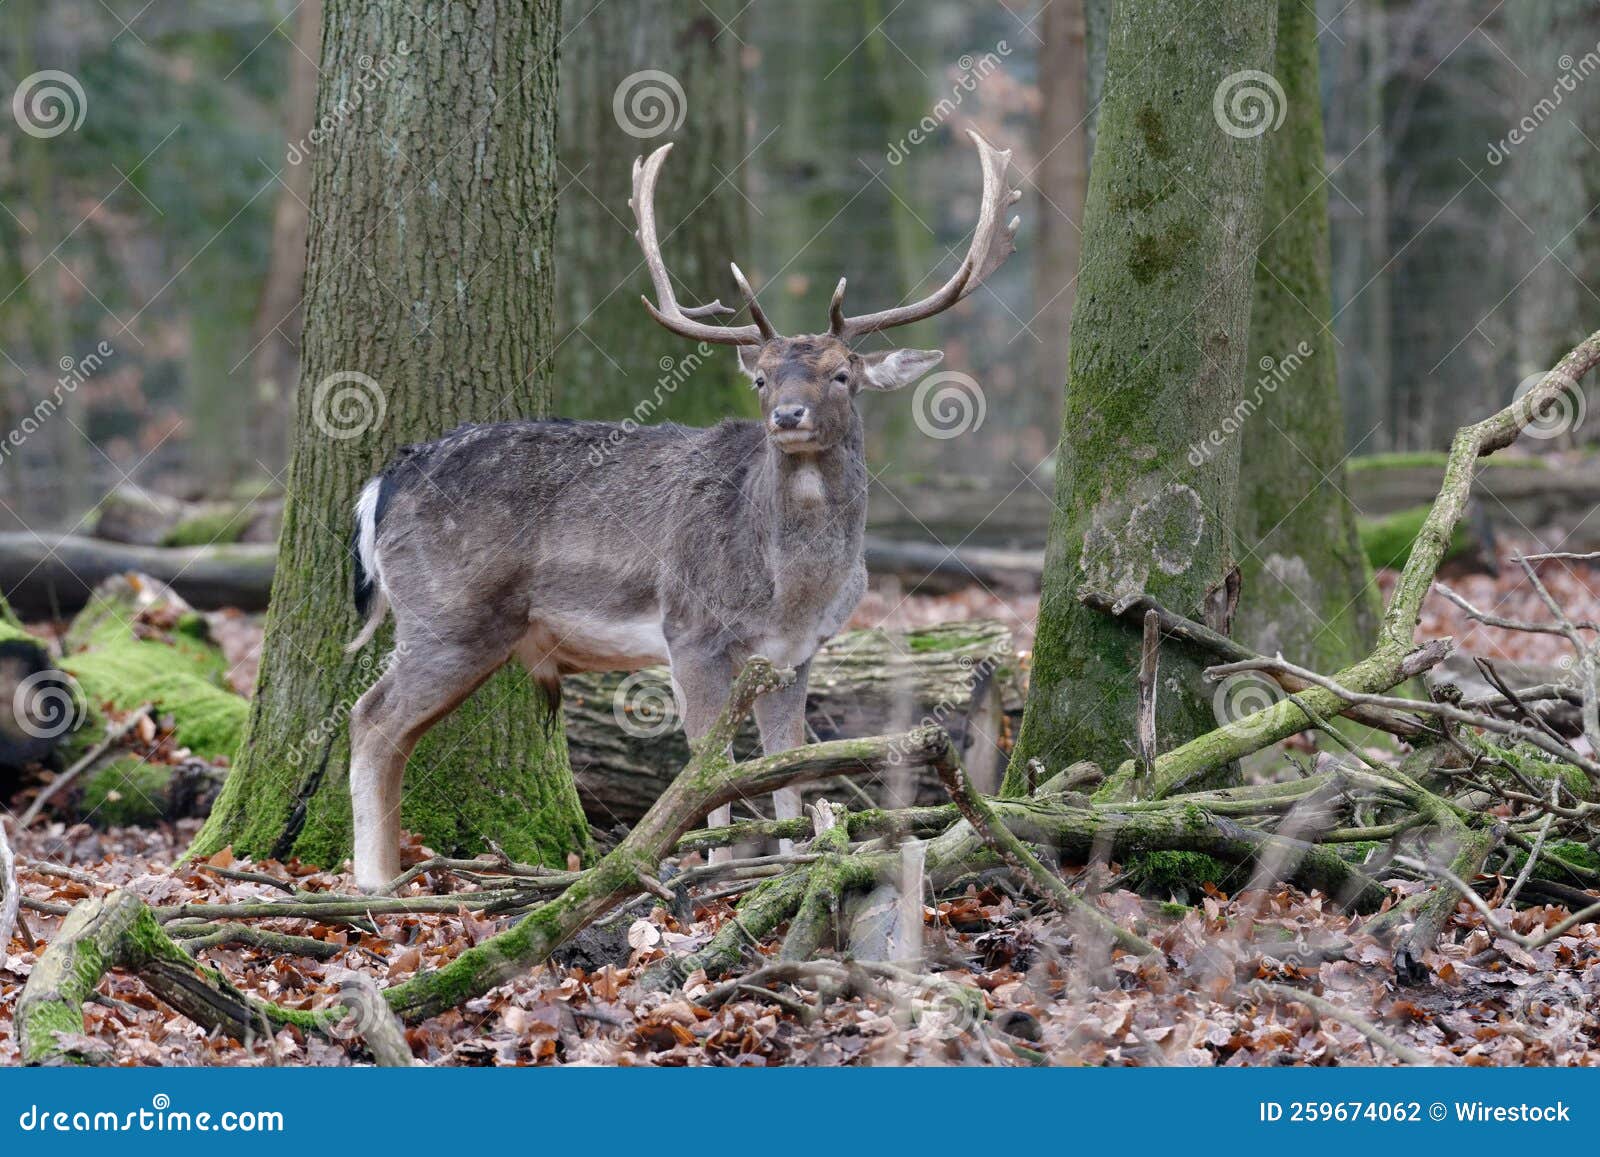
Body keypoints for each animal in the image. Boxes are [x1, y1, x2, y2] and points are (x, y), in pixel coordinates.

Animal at [343, 129, 1020, 891]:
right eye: (761, 379)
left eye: (842, 373)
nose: (788, 415)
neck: (790, 590)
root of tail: (384, 481)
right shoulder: (691, 629)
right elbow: (709, 769)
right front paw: (716, 872)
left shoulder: (797, 654)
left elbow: (785, 765)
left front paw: (795, 860)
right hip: (451, 611)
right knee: (370, 719)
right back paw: (372, 882)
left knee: (390, 728)